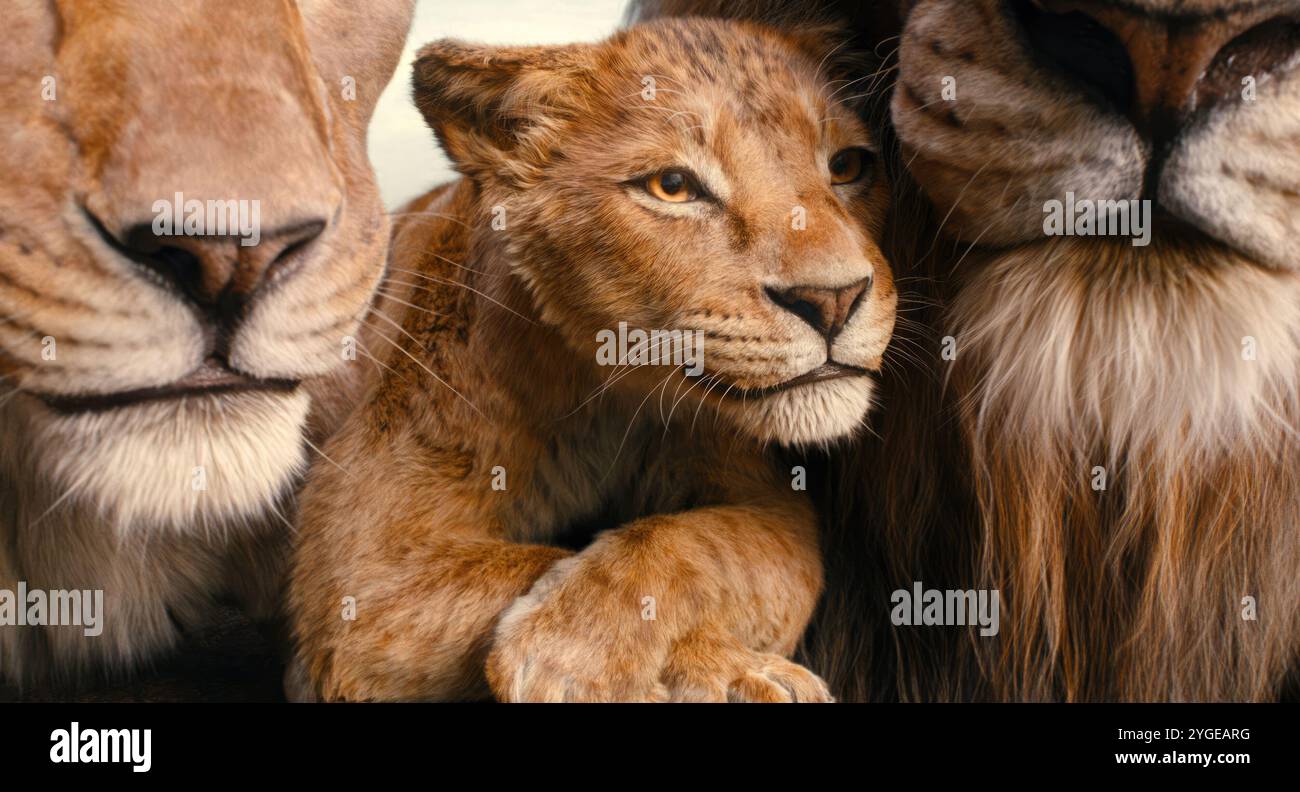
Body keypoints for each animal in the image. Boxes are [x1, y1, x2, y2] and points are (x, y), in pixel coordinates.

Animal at [287, 17, 898, 702]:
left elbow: (714, 546)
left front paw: (577, 644)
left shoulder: (766, 502)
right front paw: (601, 660)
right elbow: (526, 564)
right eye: (672, 187)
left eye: (847, 165)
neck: (606, 395)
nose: (833, 299)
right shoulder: (361, 564)